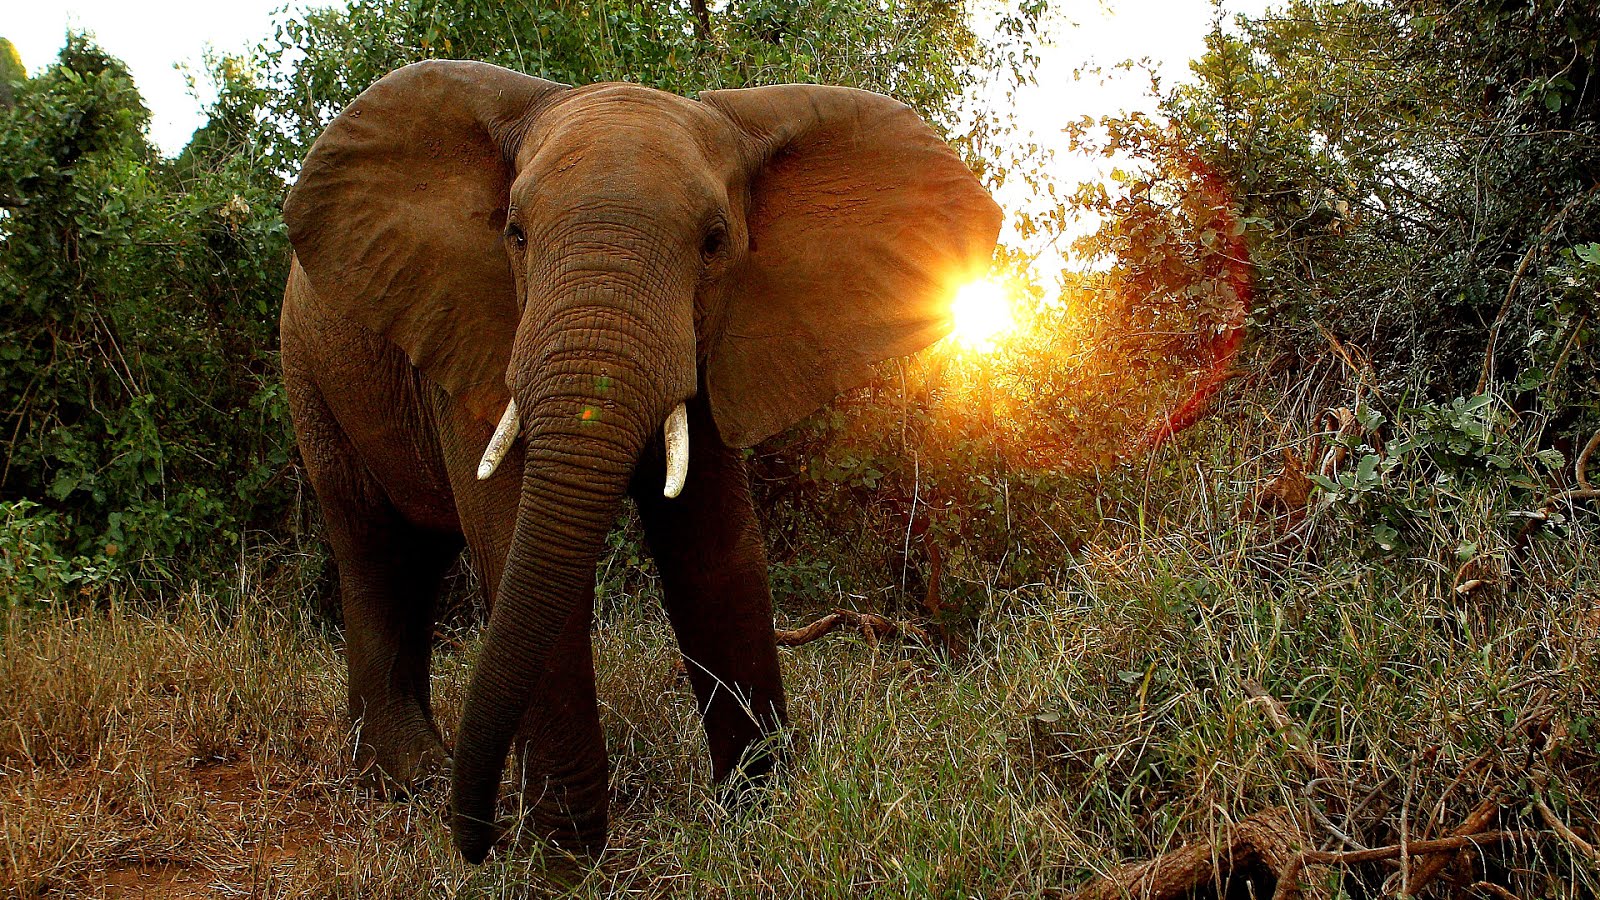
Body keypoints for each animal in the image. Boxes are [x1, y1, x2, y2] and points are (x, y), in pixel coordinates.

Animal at [278, 59, 1000, 863]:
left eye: (715, 242)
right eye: (514, 234)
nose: (478, 840)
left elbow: (716, 553)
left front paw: (760, 820)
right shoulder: (475, 327)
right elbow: (514, 545)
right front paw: (564, 866)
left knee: (414, 557)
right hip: (308, 368)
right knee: (373, 549)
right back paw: (409, 777)